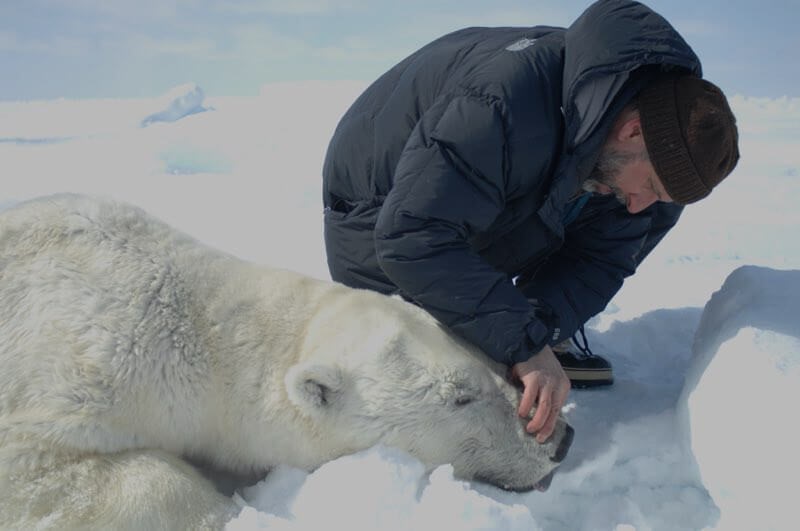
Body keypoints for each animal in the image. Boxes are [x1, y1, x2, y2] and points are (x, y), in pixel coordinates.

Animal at [0, 194, 573, 530]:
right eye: (460, 396)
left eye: (493, 366)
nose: (560, 439)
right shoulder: (78, 378)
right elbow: (42, 469)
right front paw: (229, 513)